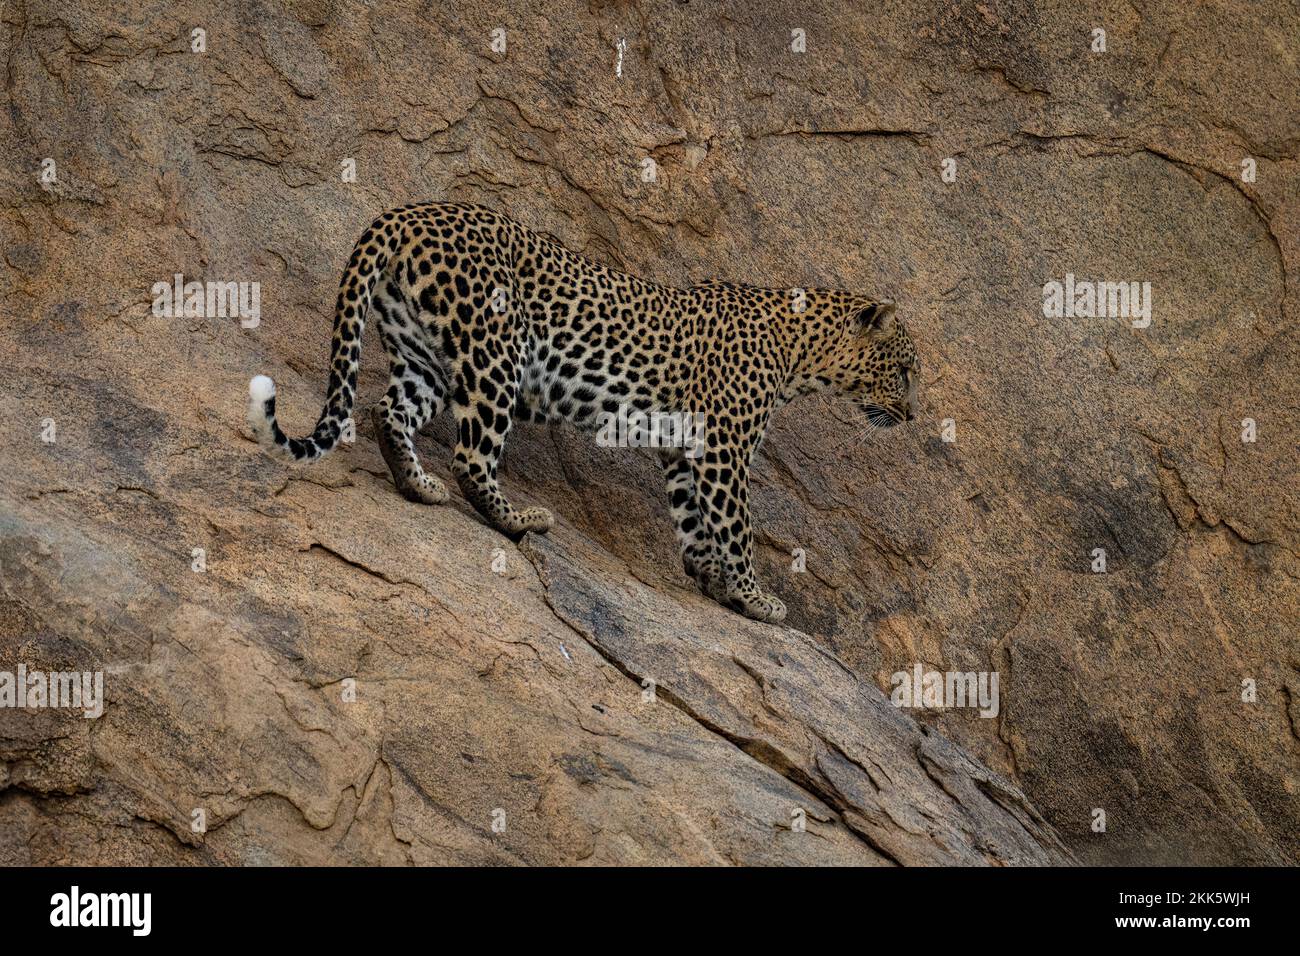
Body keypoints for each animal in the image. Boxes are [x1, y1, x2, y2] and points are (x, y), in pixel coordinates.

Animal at [247, 201, 919, 624]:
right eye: (907, 369)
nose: (914, 415)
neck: (801, 352)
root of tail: (405, 213)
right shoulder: (725, 449)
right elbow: (737, 527)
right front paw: (757, 599)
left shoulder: (684, 449)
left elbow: (693, 522)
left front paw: (711, 579)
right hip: (496, 352)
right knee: (472, 455)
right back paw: (517, 520)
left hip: (425, 355)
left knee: (390, 411)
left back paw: (418, 487)